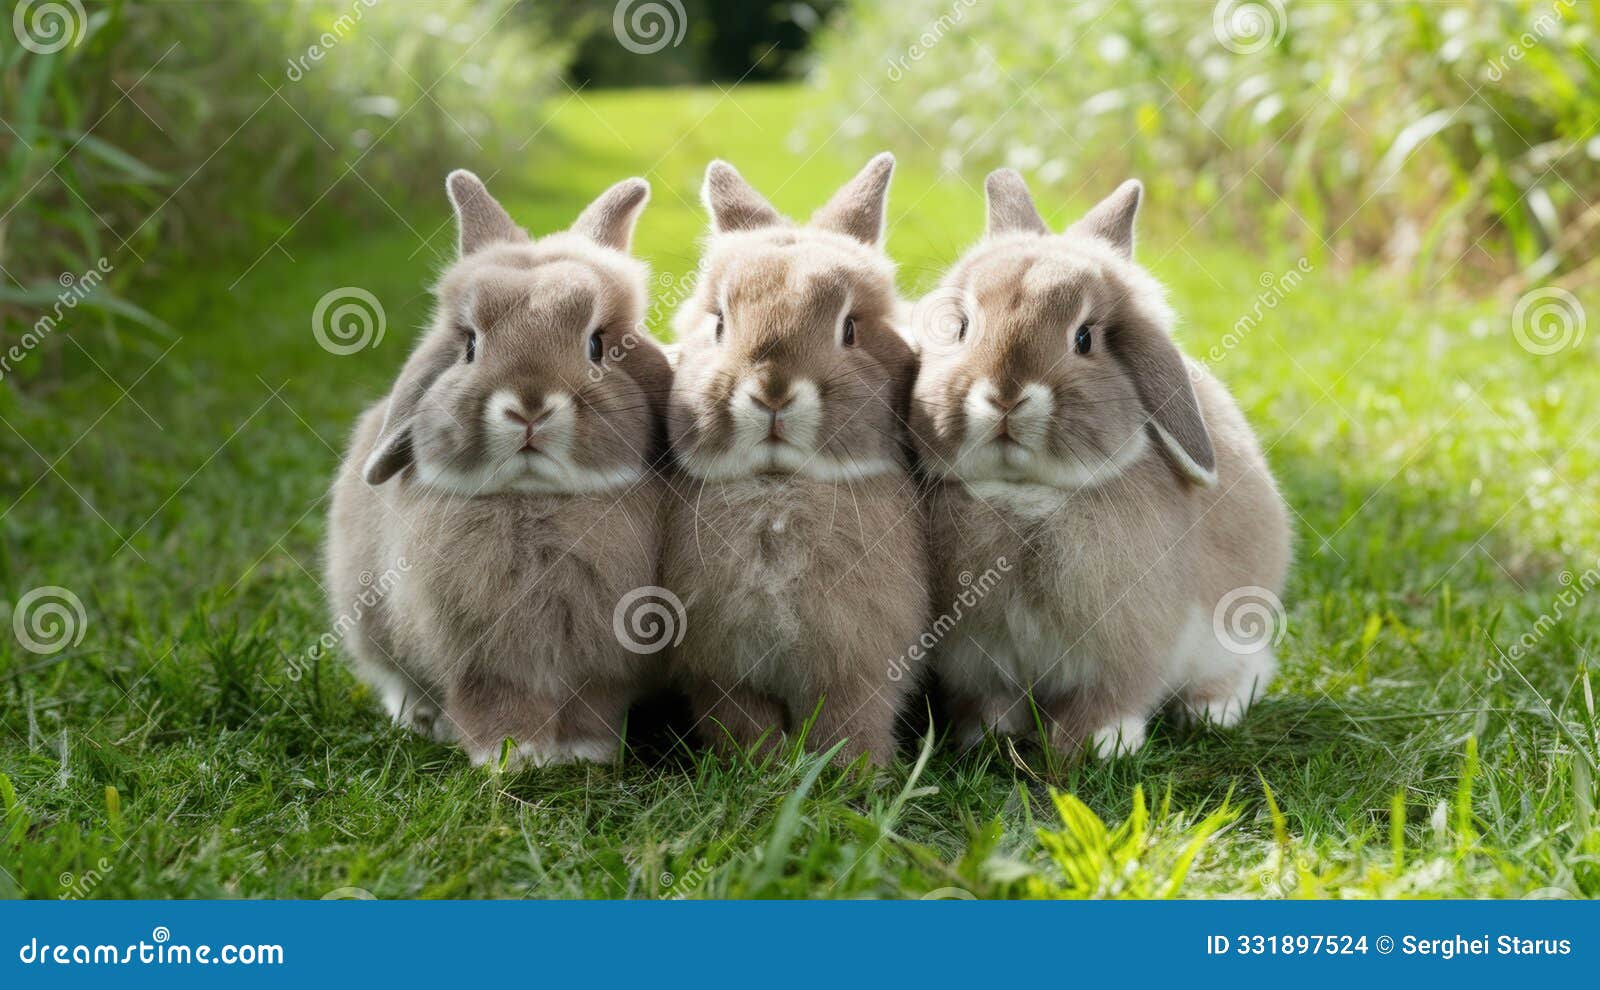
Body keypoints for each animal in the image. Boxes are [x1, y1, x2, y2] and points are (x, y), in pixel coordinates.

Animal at [325, 169, 673, 768]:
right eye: (469, 345)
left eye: (597, 344)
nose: (529, 406)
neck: (534, 501)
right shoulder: (478, 664)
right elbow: (494, 707)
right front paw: (514, 759)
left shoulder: (603, 669)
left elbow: (594, 710)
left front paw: (586, 755)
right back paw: (421, 721)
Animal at [659, 154, 930, 766]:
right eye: (719, 323)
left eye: (849, 328)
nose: (773, 393)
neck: (778, 486)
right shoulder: (721, 673)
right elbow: (742, 722)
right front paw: (761, 767)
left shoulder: (858, 668)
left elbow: (849, 722)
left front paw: (849, 774)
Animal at [906, 169, 1291, 758]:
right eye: (962, 326)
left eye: (1084, 338)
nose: (1004, 394)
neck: (1024, 495)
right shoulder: (980, 660)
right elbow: (992, 700)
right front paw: (988, 734)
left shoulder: (1128, 651)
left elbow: (1113, 696)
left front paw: (1098, 744)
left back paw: (1211, 710)